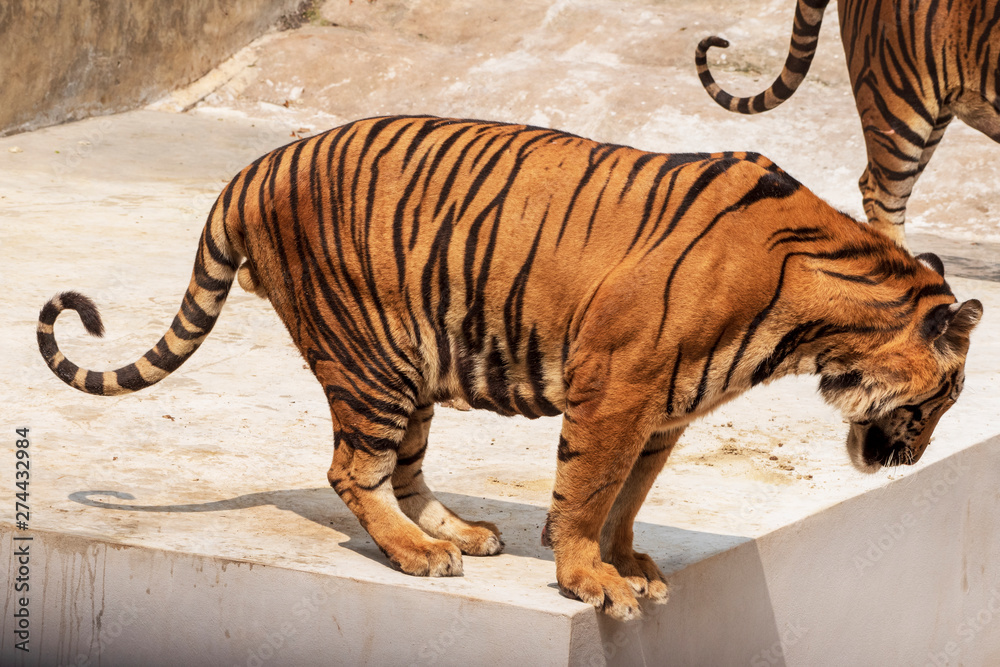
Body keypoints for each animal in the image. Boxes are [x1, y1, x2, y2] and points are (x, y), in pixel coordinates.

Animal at [37, 115, 982, 621]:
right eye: (945, 397)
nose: (916, 456)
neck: (819, 321)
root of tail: (252, 166)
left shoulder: (664, 412)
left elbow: (627, 496)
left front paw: (628, 563)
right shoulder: (619, 390)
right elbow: (587, 491)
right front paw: (590, 580)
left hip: (414, 356)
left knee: (404, 468)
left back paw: (454, 532)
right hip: (369, 359)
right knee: (352, 469)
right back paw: (418, 556)